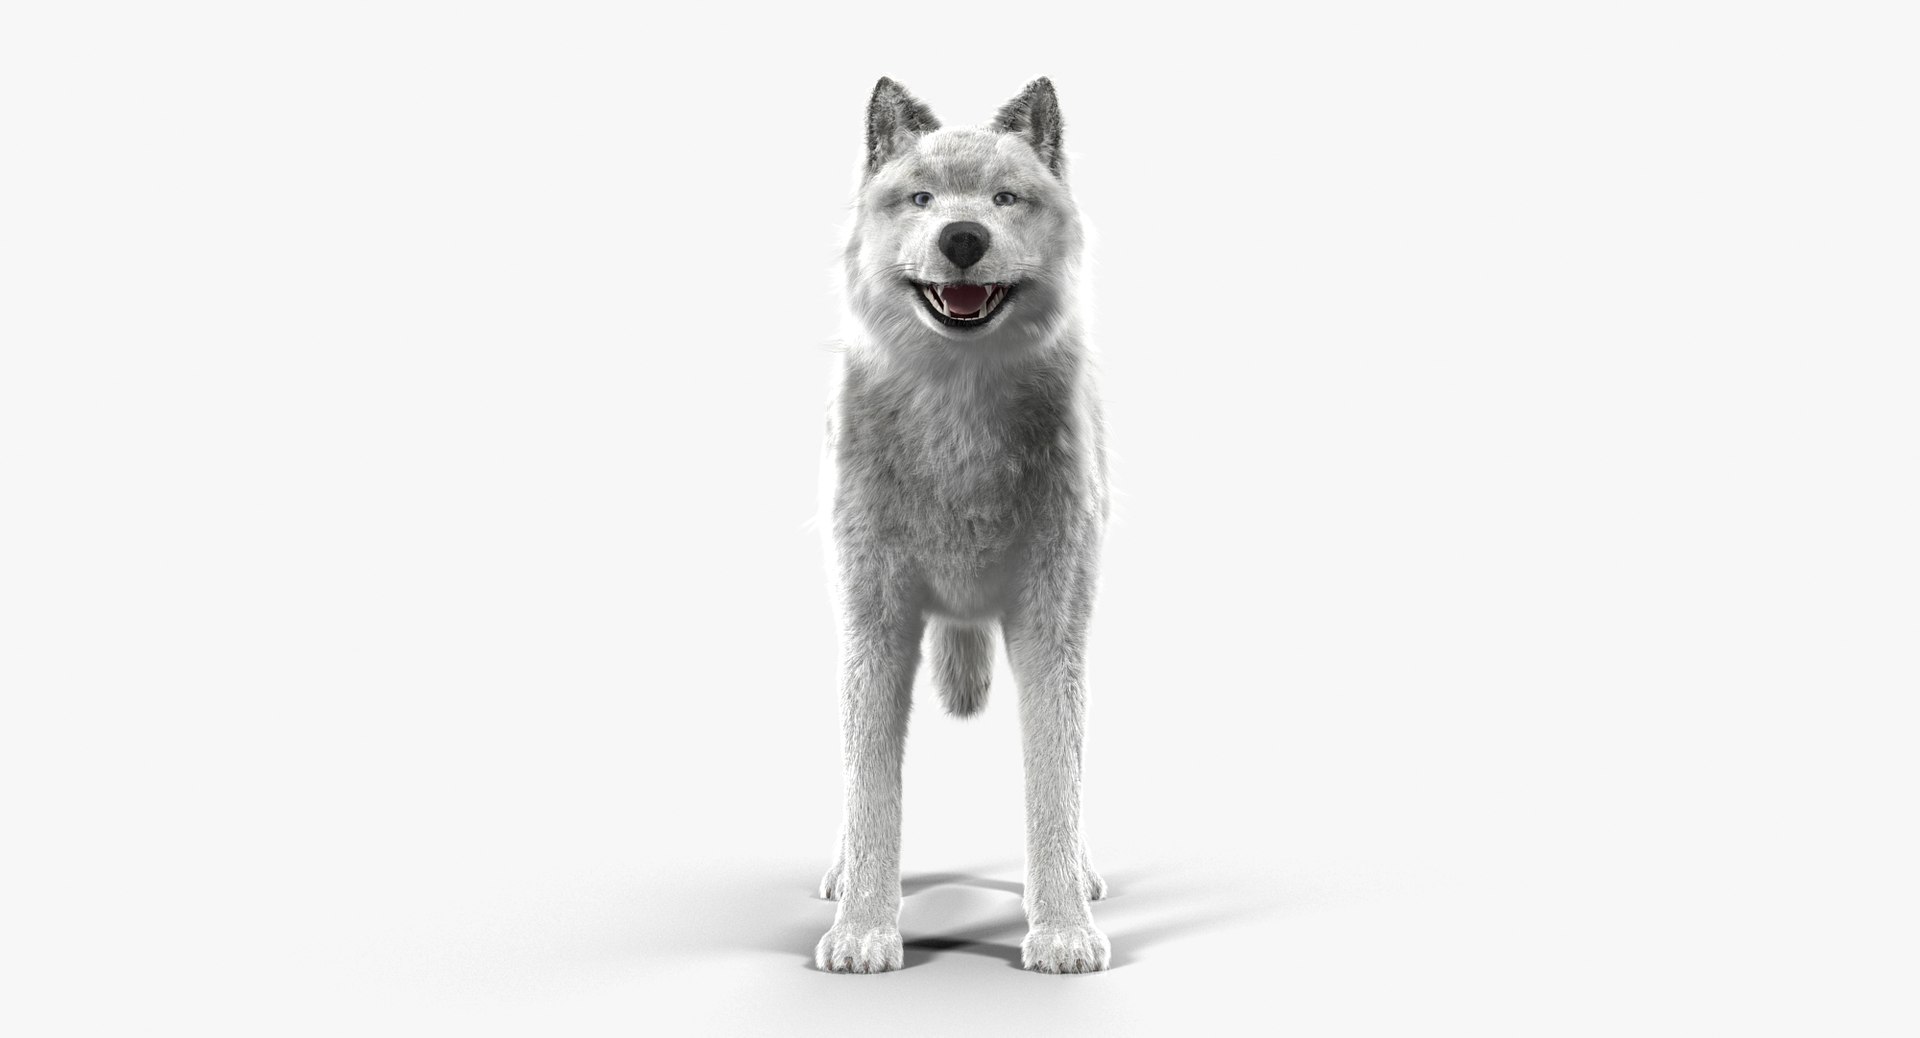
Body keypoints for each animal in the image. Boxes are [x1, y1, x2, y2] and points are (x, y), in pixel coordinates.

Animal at [814, 77, 1111, 974]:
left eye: (1005, 198)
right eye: (921, 199)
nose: (963, 238)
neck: (959, 425)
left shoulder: (1052, 631)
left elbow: (1055, 783)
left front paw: (1063, 933)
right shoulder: (876, 628)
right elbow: (870, 791)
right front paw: (864, 932)